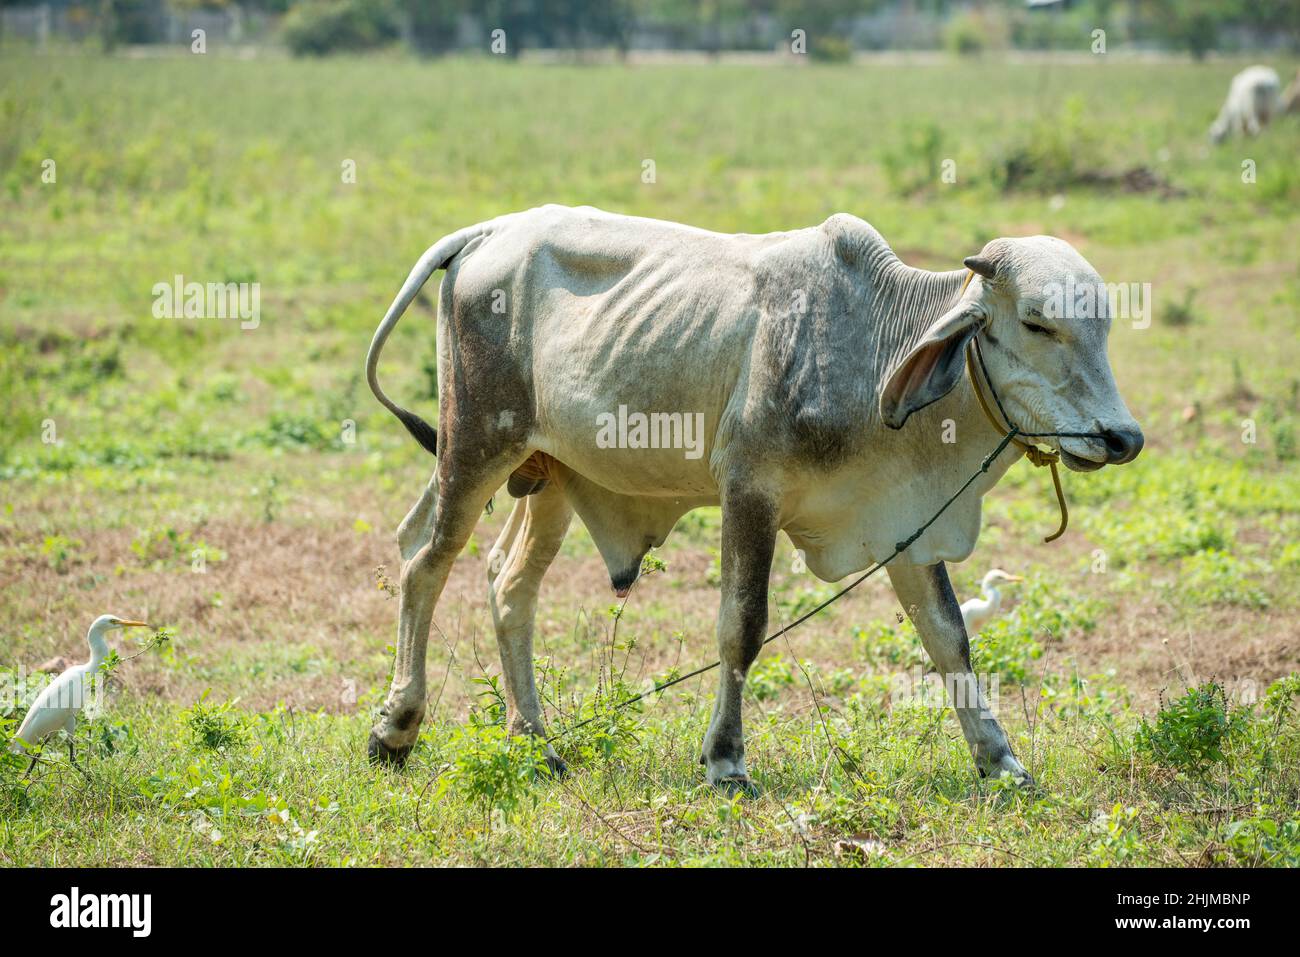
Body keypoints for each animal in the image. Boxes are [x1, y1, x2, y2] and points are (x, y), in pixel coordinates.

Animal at [364, 205, 1143, 792]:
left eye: (1103, 325)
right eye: (1038, 322)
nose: (1123, 436)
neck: (871, 348)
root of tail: (492, 230)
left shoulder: (904, 525)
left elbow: (949, 637)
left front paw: (999, 759)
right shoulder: (749, 492)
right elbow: (741, 626)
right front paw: (726, 760)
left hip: (548, 472)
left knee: (508, 584)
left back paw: (535, 741)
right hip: (475, 444)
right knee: (424, 561)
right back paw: (395, 729)